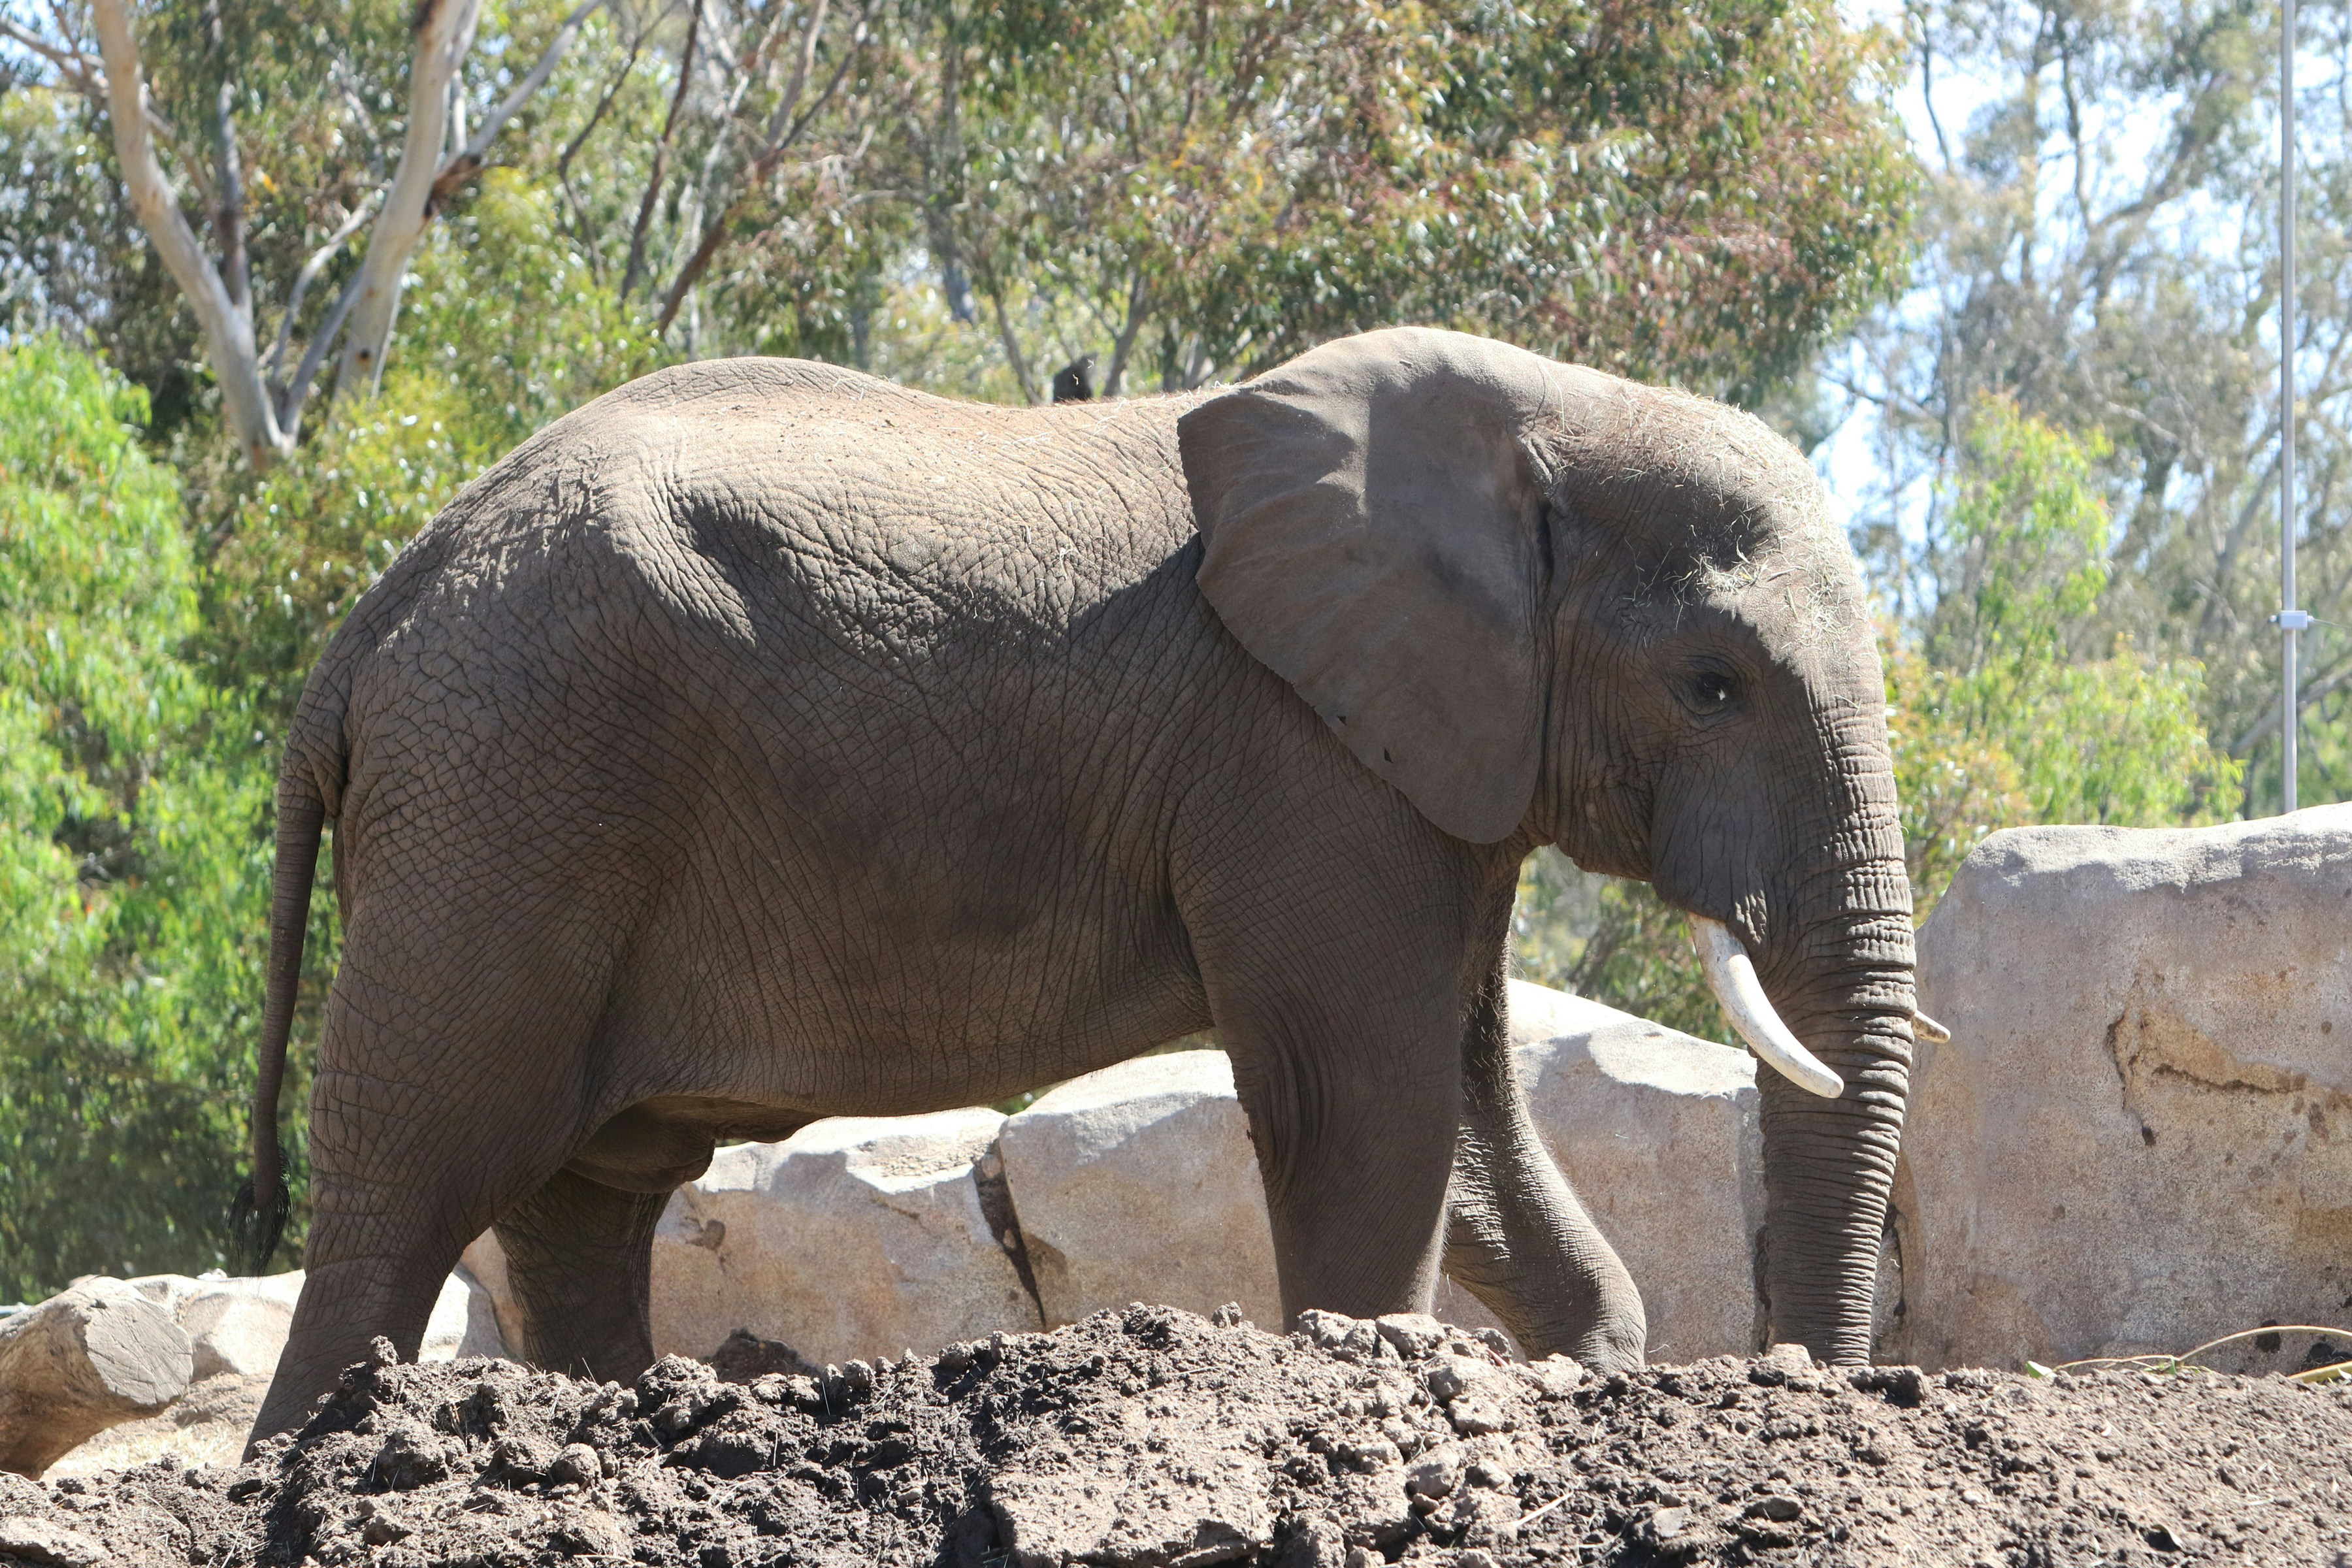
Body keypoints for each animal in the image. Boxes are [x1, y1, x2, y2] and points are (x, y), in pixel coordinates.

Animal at [238, 326, 1930, 1445]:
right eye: (1713, 685)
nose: (1824, 1380)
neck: (1547, 408)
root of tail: (371, 614)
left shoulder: (1423, 770)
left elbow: (1458, 1110)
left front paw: (1590, 1361)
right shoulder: (1299, 757)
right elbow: (1363, 1103)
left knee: (582, 1202)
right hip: (505, 804)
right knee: (408, 1183)